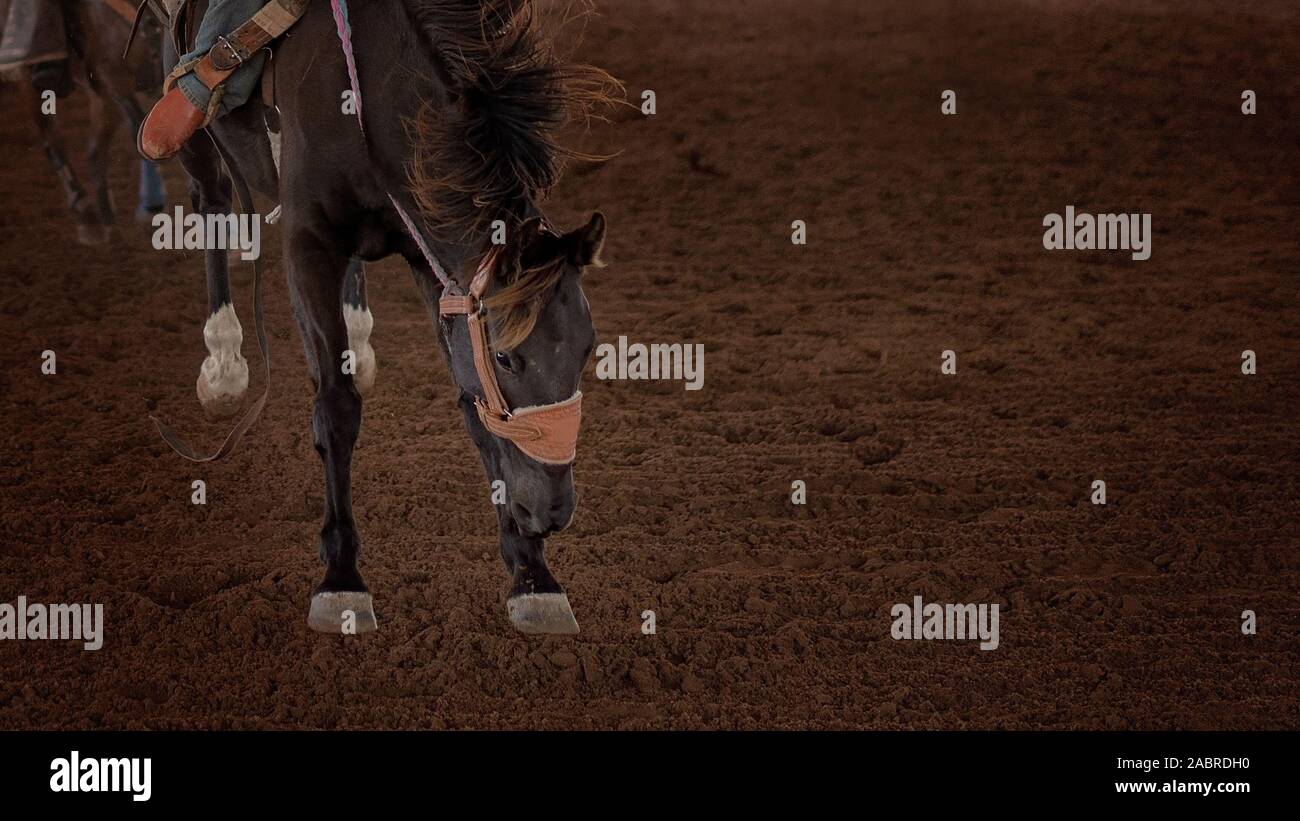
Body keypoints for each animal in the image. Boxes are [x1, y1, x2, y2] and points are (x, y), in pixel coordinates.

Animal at [2, 0, 167, 244]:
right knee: (54, 145)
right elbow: (140, 127)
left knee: (94, 151)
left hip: (100, 98)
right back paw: (87, 217)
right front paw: (150, 206)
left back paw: (109, 224)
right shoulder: (113, 75)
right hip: (32, 83)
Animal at [161, 0, 617, 634]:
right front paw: (341, 580)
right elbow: (336, 407)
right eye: (506, 356)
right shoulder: (307, 243)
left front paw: (534, 578)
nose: (553, 511)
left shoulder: (432, 258)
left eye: (586, 349)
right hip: (194, 131)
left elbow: (476, 411)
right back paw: (223, 362)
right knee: (212, 199)